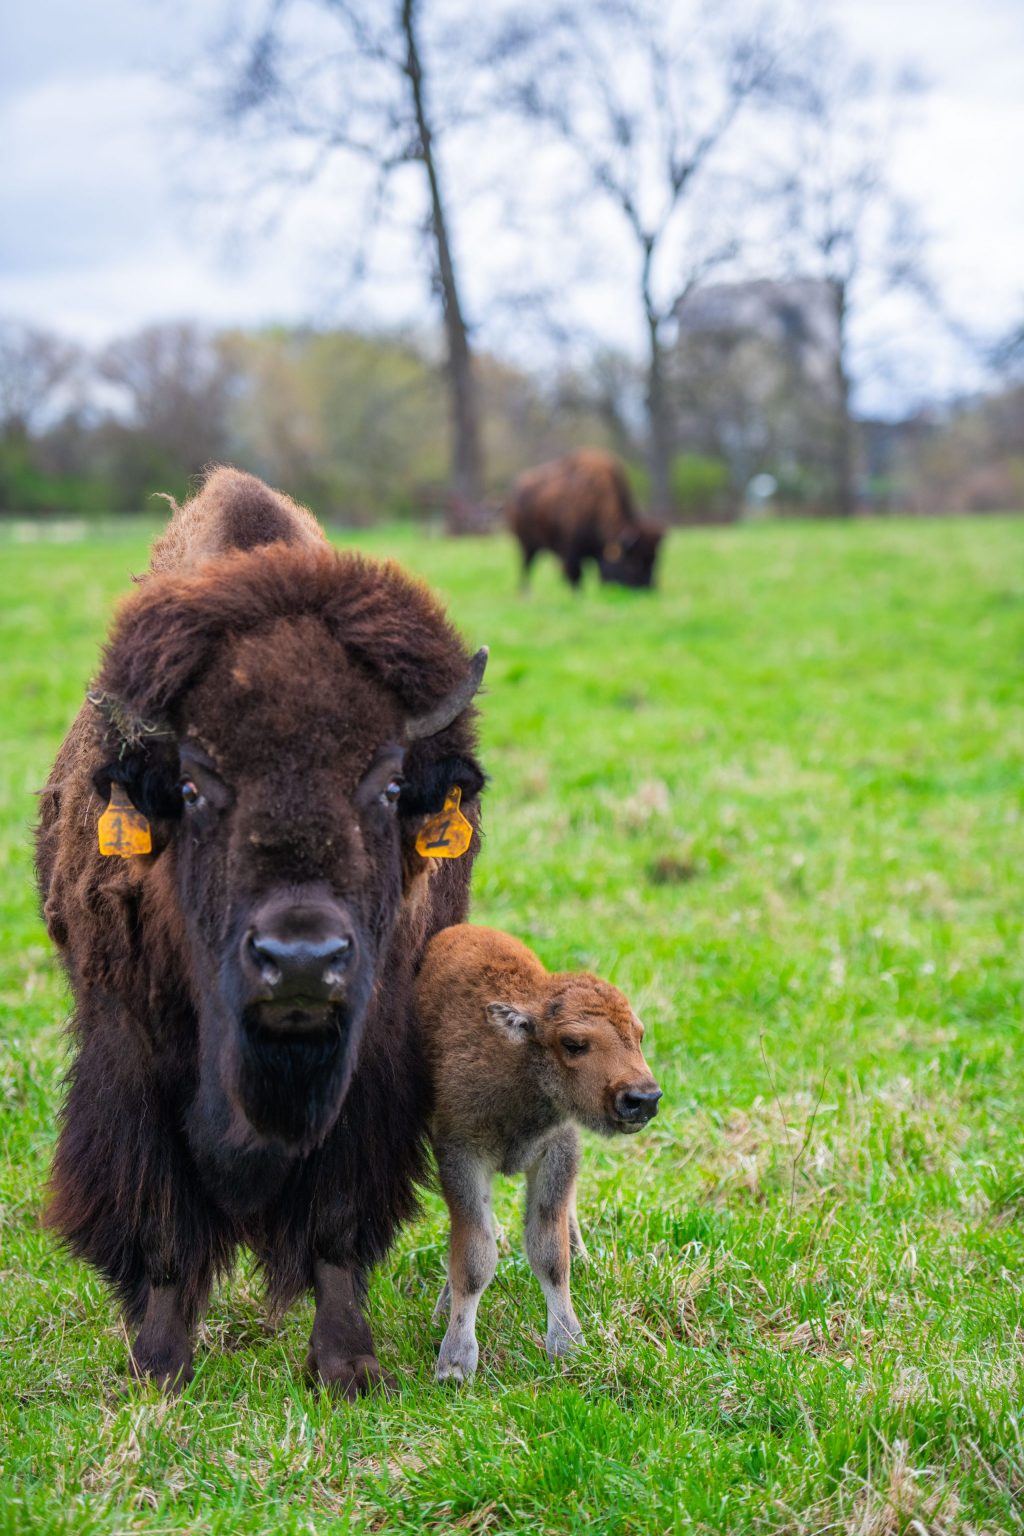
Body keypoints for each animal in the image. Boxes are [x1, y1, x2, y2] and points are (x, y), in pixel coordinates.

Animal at [36, 467, 487, 1397]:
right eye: (195, 786)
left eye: (390, 784)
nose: (302, 961)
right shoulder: (131, 1057)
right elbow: (161, 1223)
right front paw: (159, 1366)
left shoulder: (372, 1062)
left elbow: (336, 1224)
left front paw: (348, 1367)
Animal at [507, 449, 666, 590]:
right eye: (632, 563)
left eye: (655, 561)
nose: (648, 588)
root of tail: (517, 491)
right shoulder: (571, 553)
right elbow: (575, 577)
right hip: (527, 545)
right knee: (526, 566)